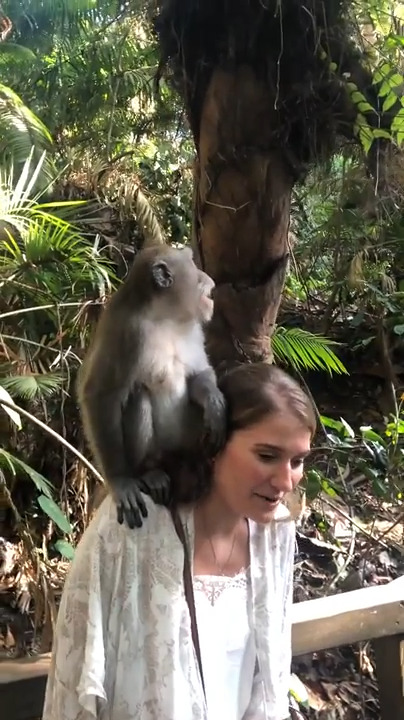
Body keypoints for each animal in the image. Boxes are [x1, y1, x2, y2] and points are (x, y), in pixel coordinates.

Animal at [77, 244, 226, 529]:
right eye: (193, 267)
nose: (210, 279)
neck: (165, 317)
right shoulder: (127, 332)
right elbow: (100, 395)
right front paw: (120, 481)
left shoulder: (194, 327)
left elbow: (198, 373)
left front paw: (213, 401)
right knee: (138, 396)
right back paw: (148, 472)